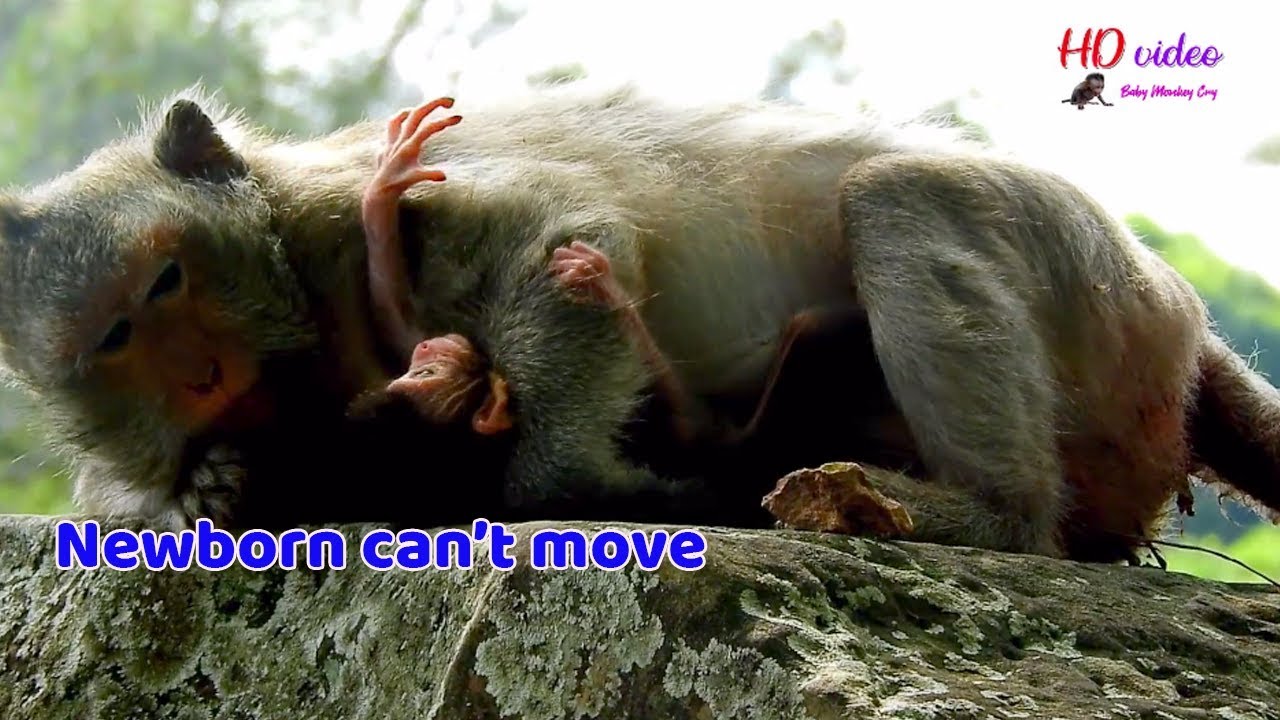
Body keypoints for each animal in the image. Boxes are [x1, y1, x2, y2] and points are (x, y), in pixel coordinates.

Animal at [2, 84, 1278, 564]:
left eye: (165, 285)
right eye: (109, 340)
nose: (199, 373)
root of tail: (1179, 311)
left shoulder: (352, 212)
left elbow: (562, 239)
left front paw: (581, 482)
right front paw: (205, 487)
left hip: (1095, 291)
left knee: (900, 197)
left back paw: (969, 512)